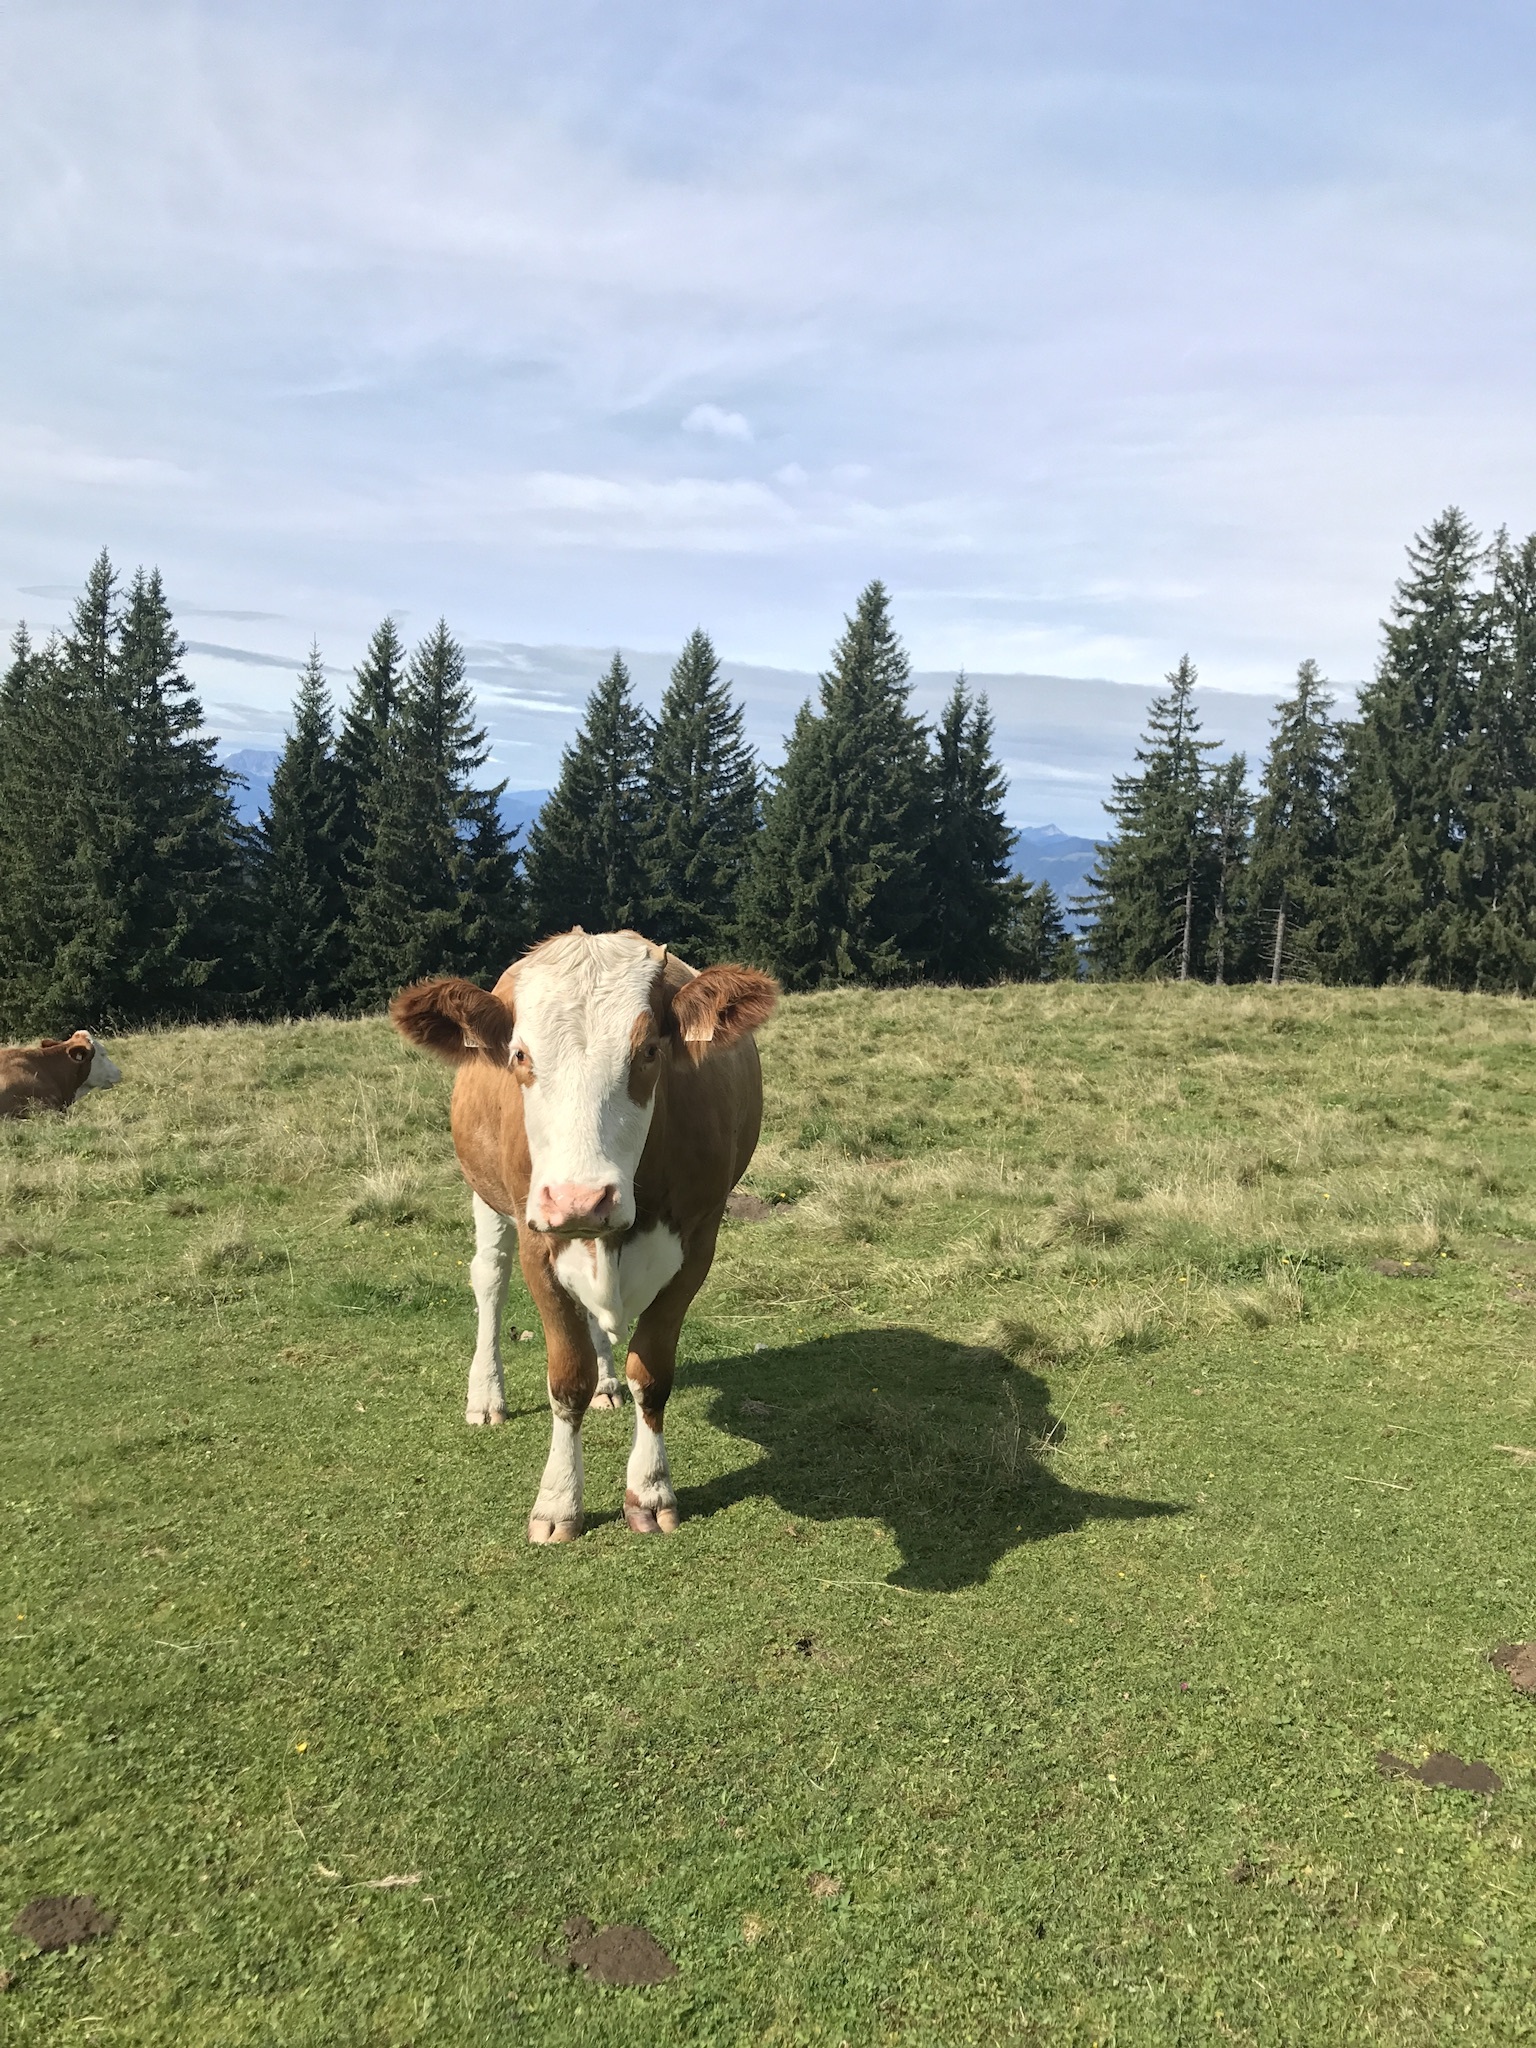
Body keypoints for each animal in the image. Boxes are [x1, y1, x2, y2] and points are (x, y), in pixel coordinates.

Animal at [390, 929, 778, 1544]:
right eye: (520, 1055)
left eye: (648, 1051)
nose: (579, 1199)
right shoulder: (536, 1241)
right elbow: (565, 1377)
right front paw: (557, 1501)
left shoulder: (700, 1241)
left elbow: (652, 1372)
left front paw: (650, 1489)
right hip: (487, 1196)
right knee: (489, 1279)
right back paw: (486, 1395)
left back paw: (606, 1384)